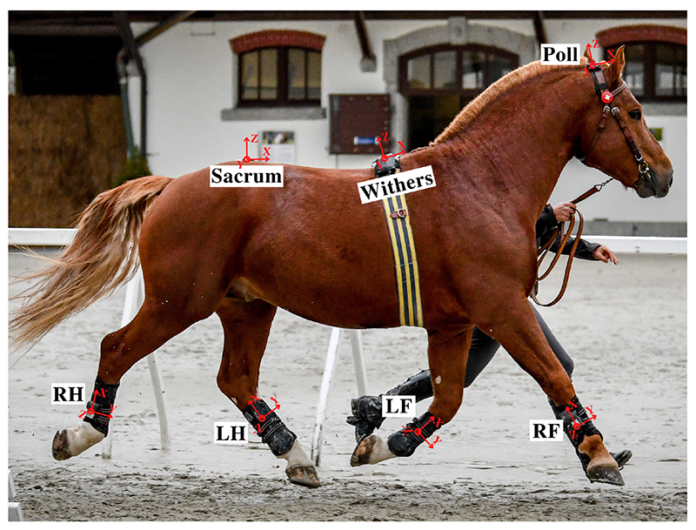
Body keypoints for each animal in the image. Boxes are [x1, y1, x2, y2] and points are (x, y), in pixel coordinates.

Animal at [10, 46, 672, 489]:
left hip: (247, 306)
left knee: (235, 379)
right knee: (118, 348)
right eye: (636, 110)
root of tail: (173, 183)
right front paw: (599, 457)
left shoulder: (456, 323)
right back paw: (80, 434)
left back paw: (296, 454)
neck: (481, 182)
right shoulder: (503, 310)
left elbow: (449, 395)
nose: (663, 175)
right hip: (180, 302)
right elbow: (553, 377)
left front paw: (382, 441)